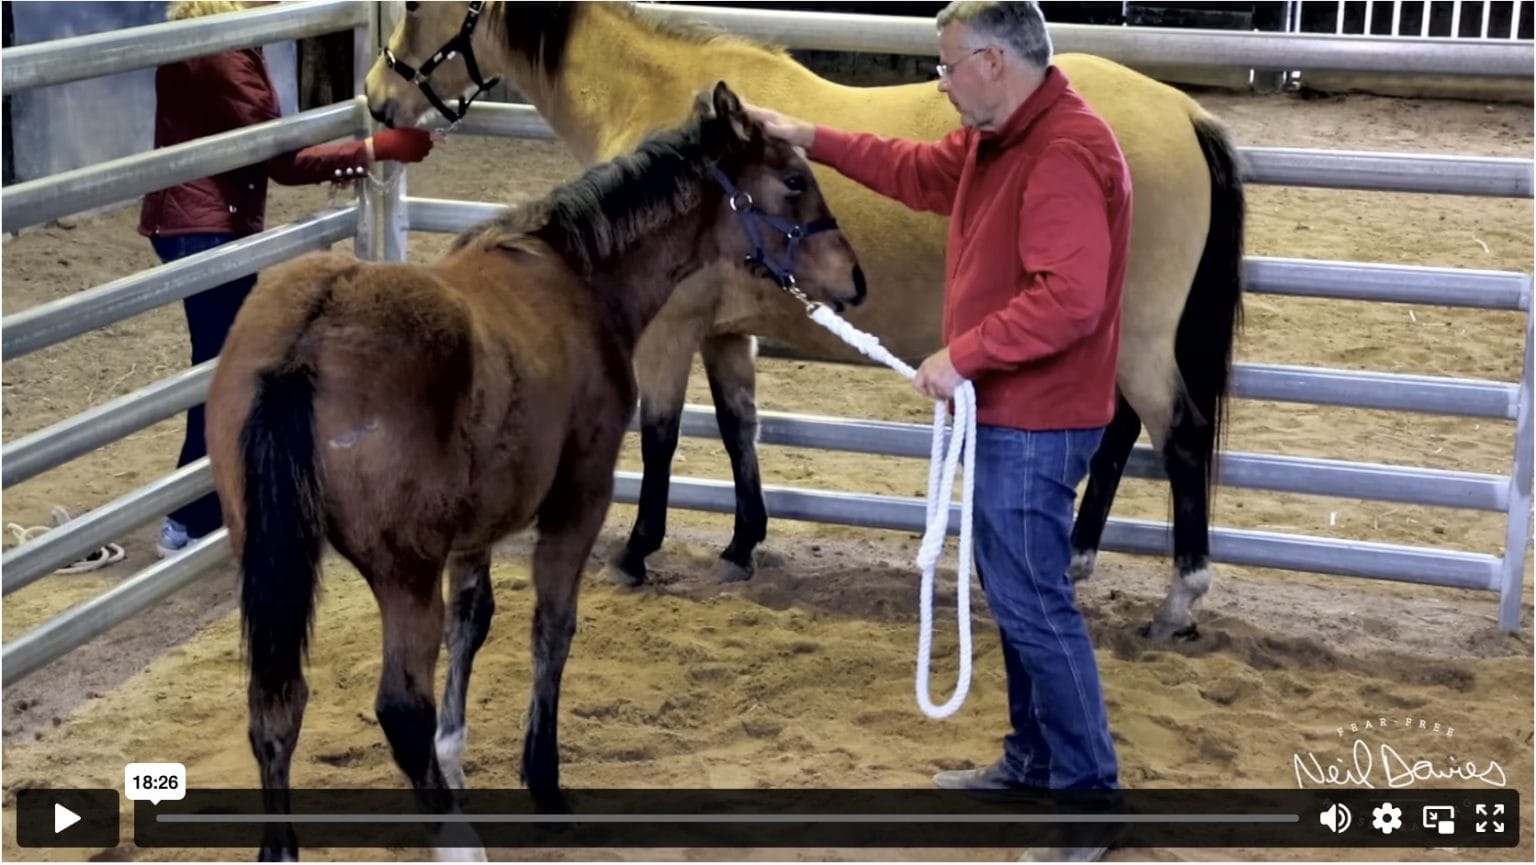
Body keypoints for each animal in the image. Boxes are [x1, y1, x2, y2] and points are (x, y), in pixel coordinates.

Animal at [205, 81, 864, 861]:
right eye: (792, 180)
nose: (853, 278)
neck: (578, 275)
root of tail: (309, 335)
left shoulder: (473, 534)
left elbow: (473, 624)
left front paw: (456, 751)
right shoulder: (578, 501)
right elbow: (552, 630)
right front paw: (543, 781)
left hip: (272, 556)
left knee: (276, 702)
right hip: (402, 572)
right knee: (397, 706)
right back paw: (458, 840)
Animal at [365, 1, 1246, 641]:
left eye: (411, 5)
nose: (376, 97)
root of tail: (1183, 114)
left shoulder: (668, 331)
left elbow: (659, 436)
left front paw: (638, 550)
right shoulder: (725, 332)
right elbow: (738, 428)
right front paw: (741, 543)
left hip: (1138, 341)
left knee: (1178, 432)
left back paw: (1179, 598)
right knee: (1120, 430)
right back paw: (1079, 555)